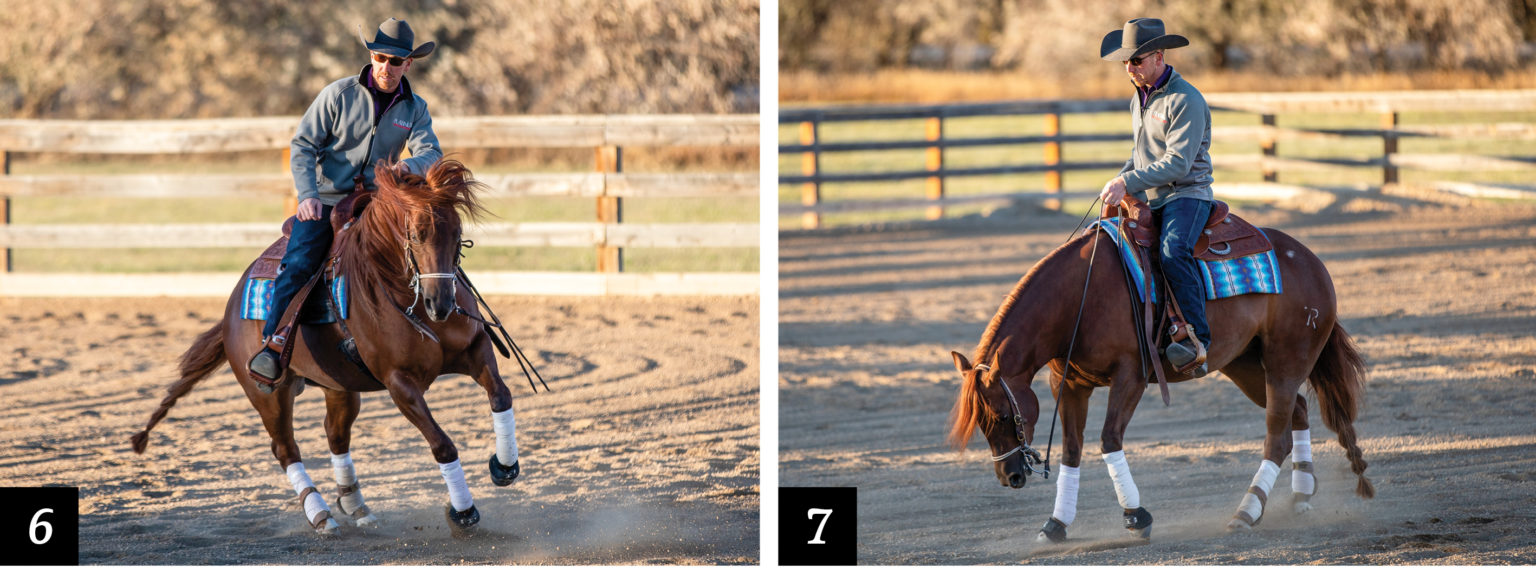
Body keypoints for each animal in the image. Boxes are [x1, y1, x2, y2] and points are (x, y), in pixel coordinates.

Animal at [130, 159, 522, 536]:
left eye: (457, 233)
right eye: (415, 234)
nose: (440, 304)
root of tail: (231, 307)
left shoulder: (475, 349)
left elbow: (501, 396)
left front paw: (504, 466)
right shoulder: (400, 383)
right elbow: (442, 444)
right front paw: (463, 512)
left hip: (340, 387)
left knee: (336, 436)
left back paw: (356, 506)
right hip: (268, 394)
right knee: (285, 448)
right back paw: (320, 515)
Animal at [946, 207, 1373, 543]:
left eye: (1004, 415)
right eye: (982, 424)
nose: (1010, 476)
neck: (1079, 297)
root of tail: (1311, 261)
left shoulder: (1129, 378)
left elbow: (1109, 439)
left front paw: (1137, 517)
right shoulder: (1069, 385)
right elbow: (1071, 449)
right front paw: (1056, 524)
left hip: (1286, 362)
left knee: (1276, 436)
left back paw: (1246, 513)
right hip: (1244, 364)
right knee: (1297, 413)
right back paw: (1300, 497)